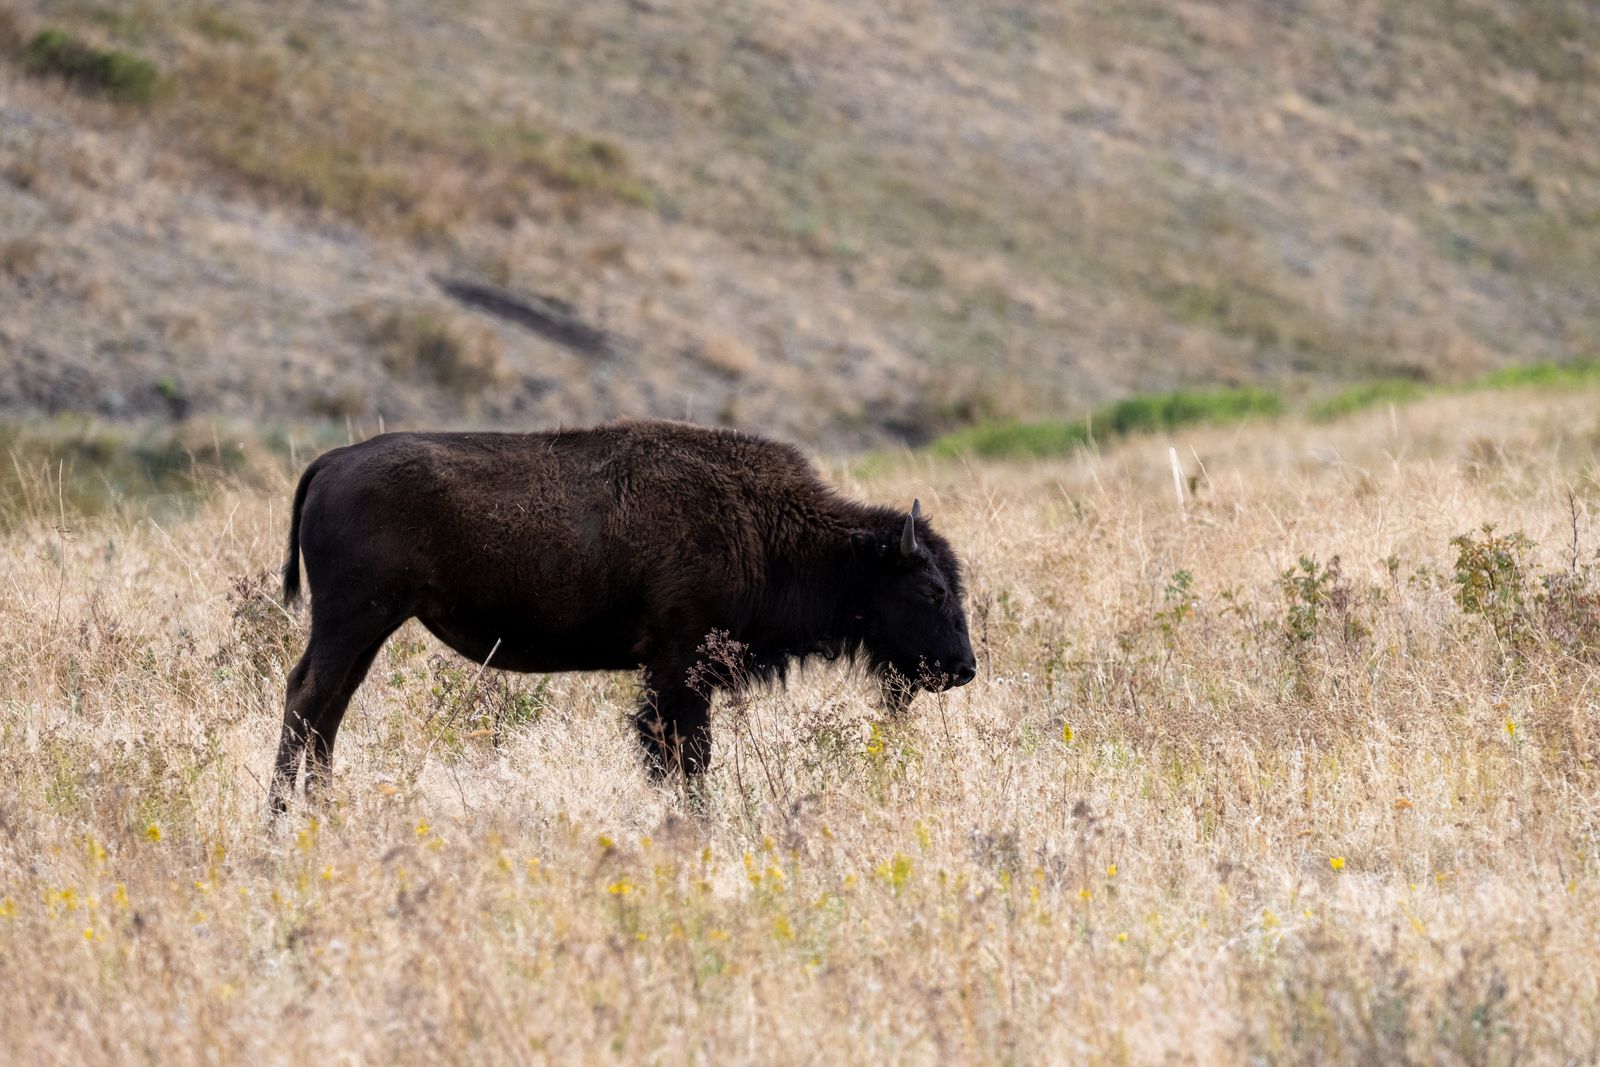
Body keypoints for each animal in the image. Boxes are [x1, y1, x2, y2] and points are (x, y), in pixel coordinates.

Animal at [269, 419, 976, 812]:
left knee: (329, 708)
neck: (769, 529)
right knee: (307, 696)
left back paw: (321, 810)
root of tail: (332, 461)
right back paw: (279, 819)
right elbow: (684, 754)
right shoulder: (679, 668)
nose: (963, 668)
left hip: (371, 627)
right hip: (352, 620)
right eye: (929, 590)